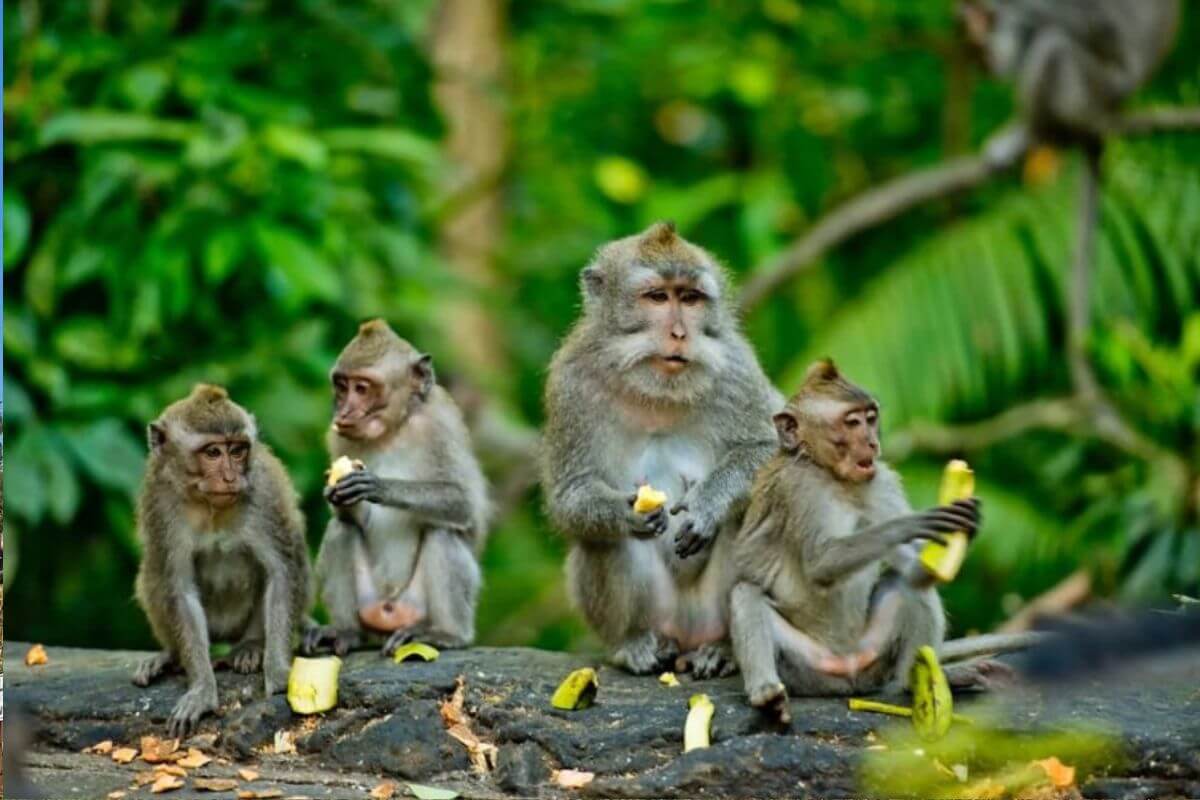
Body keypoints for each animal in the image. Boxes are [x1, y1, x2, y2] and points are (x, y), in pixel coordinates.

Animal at [132, 384, 312, 737]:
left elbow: (282, 571)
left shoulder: (263, 491)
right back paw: (169, 655)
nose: (230, 477)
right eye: (213, 453)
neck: (208, 504)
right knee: (153, 573)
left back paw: (251, 646)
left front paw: (278, 671)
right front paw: (202, 690)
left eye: (238, 451)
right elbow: (180, 589)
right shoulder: (160, 502)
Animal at [302, 320, 489, 658]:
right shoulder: (338, 438)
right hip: (370, 604)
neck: (393, 430)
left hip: (416, 605)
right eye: (342, 386)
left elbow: (463, 503)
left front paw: (378, 485)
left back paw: (446, 634)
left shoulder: (441, 425)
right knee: (341, 530)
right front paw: (337, 496)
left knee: (442, 532)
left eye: (362, 388)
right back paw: (347, 632)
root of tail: (389, 611)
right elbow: (347, 518)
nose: (343, 412)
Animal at [541, 221, 783, 677]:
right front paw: (624, 512)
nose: (680, 334)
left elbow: (771, 451)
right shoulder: (570, 384)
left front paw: (708, 504)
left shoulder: (738, 370)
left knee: (750, 513)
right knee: (601, 540)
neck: (657, 391)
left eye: (689, 298)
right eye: (657, 297)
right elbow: (570, 493)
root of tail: (687, 633)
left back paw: (724, 648)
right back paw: (634, 644)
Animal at [729, 360, 1006, 722]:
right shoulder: (798, 488)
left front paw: (967, 525)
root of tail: (847, 671)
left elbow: (915, 573)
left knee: (908, 586)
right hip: (806, 668)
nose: (872, 444)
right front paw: (907, 525)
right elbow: (821, 563)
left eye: (871, 418)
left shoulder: (881, 480)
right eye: (852, 422)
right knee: (745, 593)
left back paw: (911, 683)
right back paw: (766, 694)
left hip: (873, 654)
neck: (833, 476)